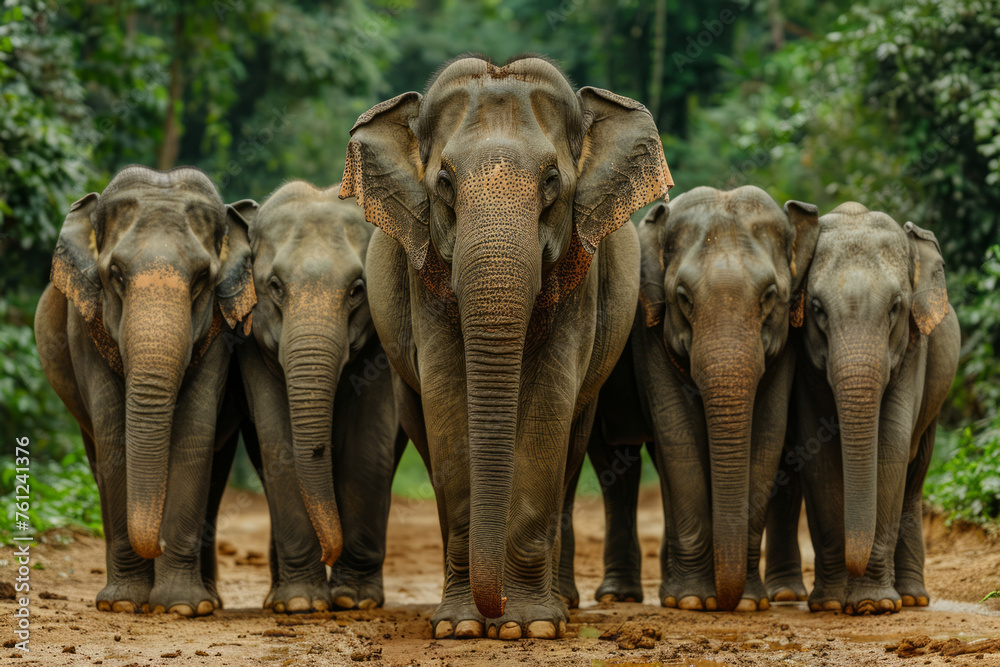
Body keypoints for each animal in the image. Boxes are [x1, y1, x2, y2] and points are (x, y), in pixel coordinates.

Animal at [34, 165, 256, 616]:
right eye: (116, 274)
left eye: (202, 278)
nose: (160, 542)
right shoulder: (83, 325)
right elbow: (112, 434)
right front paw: (123, 604)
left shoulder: (218, 332)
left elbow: (194, 430)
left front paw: (182, 607)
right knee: (96, 456)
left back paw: (209, 599)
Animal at [233, 180, 406, 613]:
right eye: (275, 287)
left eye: (358, 289)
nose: (331, 552)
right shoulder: (253, 342)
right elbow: (277, 443)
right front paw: (300, 604)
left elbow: (367, 444)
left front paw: (353, 601)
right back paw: (277, 598)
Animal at [338, 54, 672, 639]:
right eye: (444, 181)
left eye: (552, 179)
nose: (492, 610)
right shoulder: (425, 275)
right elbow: (448, 402)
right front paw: (461, 628)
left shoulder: (579, 274)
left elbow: (549, 403)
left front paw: (528, 627)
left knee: (572, 445)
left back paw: (561, 604)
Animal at [581, 186, 820, 612]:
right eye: (684, 298)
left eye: (769, 296)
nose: (729, 601)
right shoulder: (649, 329)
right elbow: (677, 434)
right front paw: (693, 601)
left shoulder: (785, 340)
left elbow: (768, 434)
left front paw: (748, 603)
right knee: (612, 460)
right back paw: (619, 596)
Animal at [764, 203, 960, 614]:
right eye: (817, 309)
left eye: (896, 307)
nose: (855, 565)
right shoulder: (806, 362)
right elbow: (817, 453)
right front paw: (831, 605)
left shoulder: (913, 349)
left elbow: (891, 445)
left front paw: (874, 605)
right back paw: (788, 596)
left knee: (915, 474)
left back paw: (913, 597)